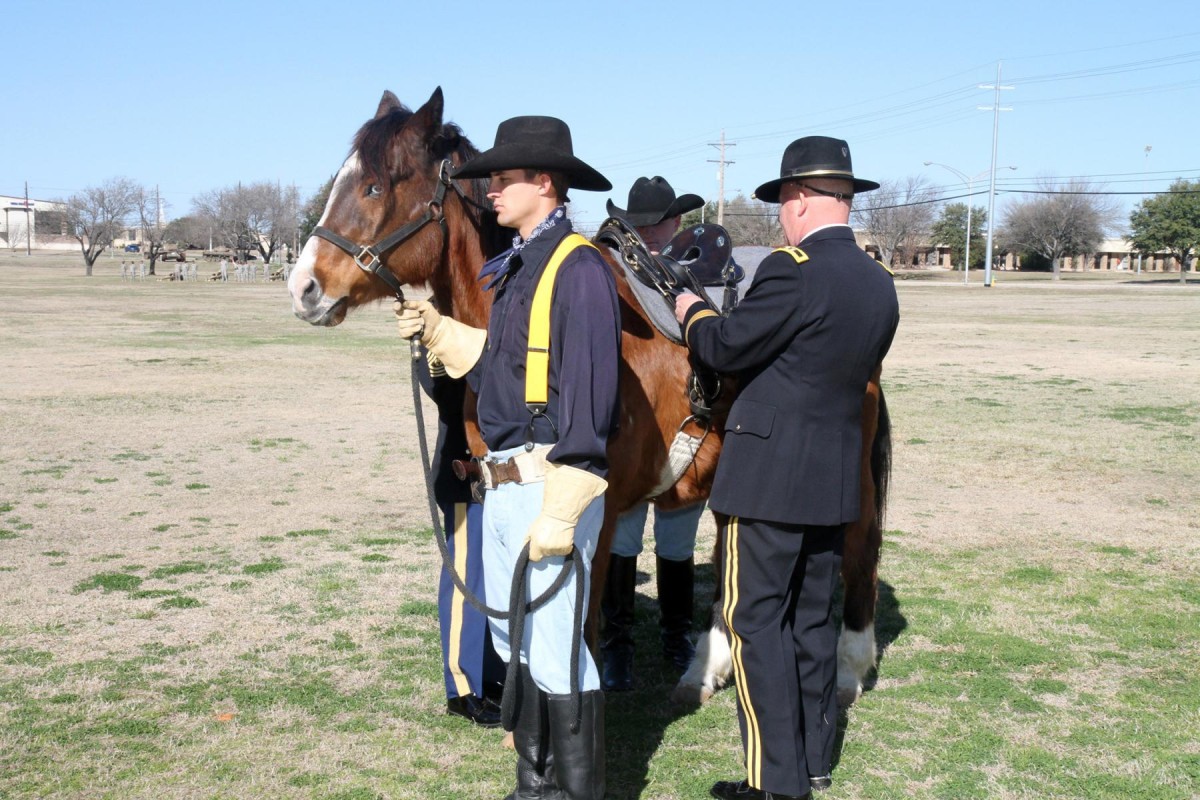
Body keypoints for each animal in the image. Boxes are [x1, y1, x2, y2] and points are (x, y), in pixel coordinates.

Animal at [286, 87, 891, 708]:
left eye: (375, 186)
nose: (303, 287)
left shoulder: (588, 514)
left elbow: (581, 631)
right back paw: (706, 667)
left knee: (860, 544)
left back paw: (848, 668)